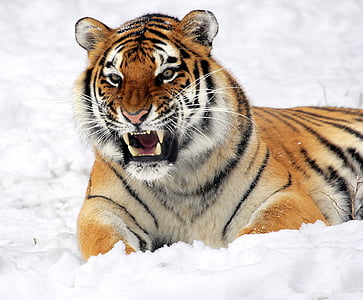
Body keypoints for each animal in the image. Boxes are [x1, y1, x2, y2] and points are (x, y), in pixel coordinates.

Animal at [73, 9, 363, 260]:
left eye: (167, 73)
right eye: (115, 78)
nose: (134, 116)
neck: (179, 181)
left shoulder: (285, 195)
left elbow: (262, 229)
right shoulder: (102, 205)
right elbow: (106, 243)